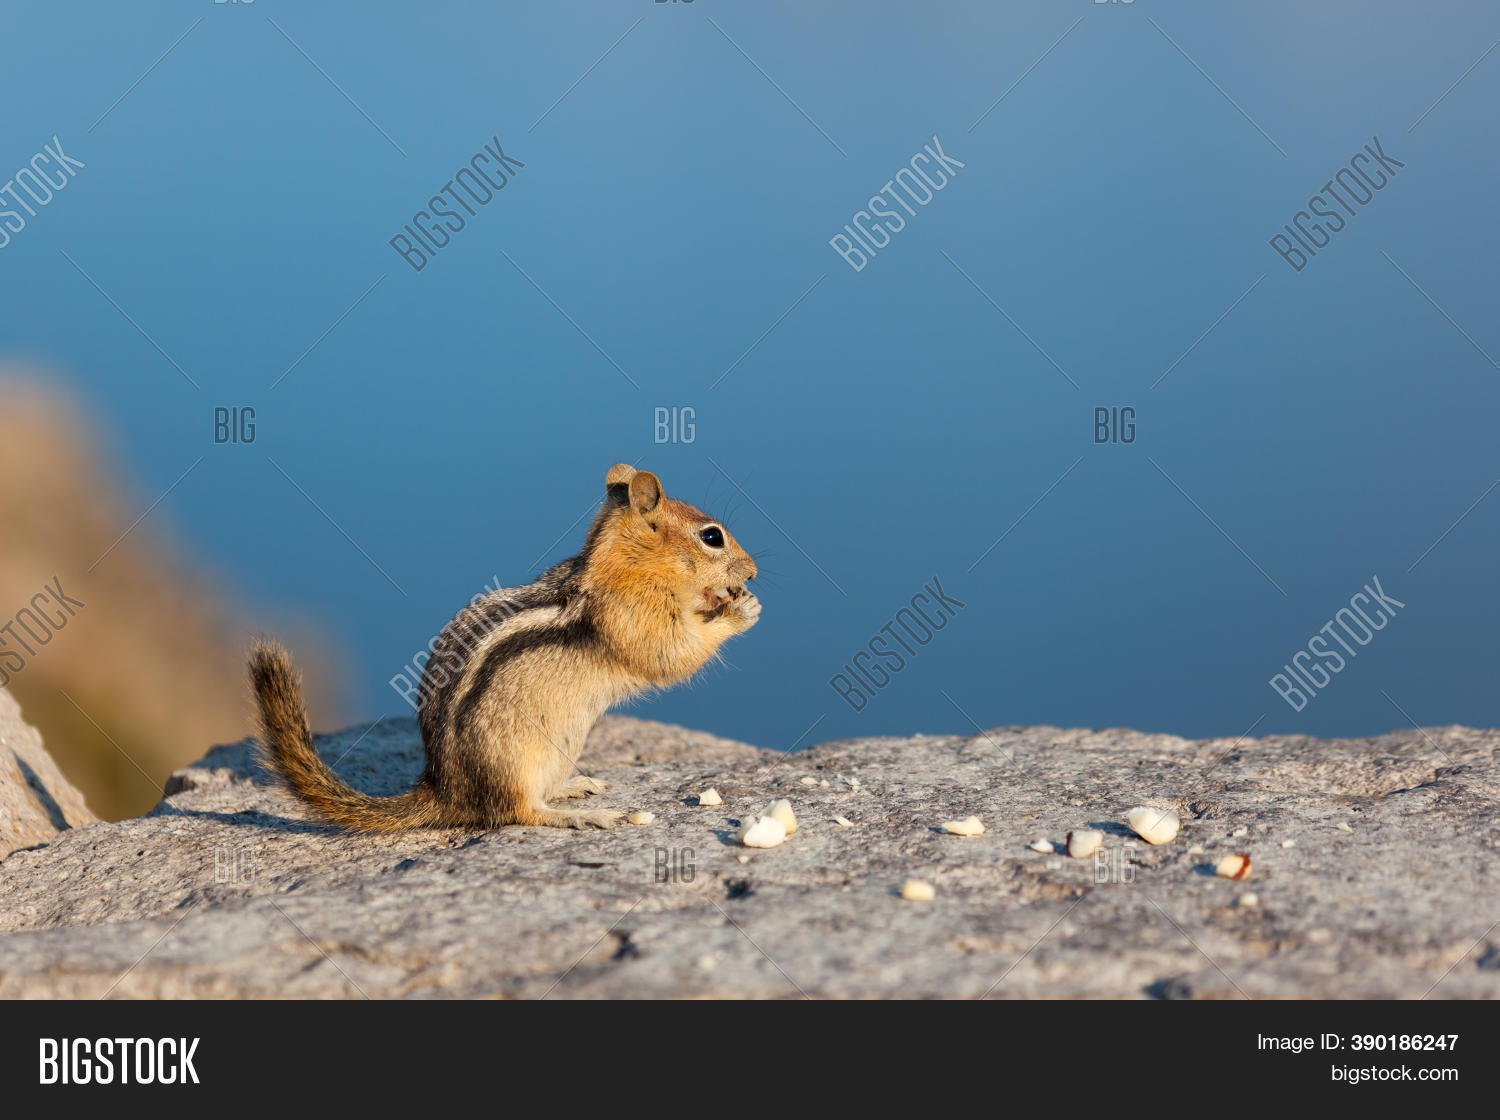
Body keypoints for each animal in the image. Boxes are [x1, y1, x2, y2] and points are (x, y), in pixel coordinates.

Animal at [249, 463, 759, 831]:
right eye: (712, 537)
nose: (753, 571)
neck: (625, 565)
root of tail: (443, 790)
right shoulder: (633, 616)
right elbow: (672, 654)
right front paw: (740, 611)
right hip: (516, 765)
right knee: (517, 812)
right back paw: (577, 816)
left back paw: (575, 787)